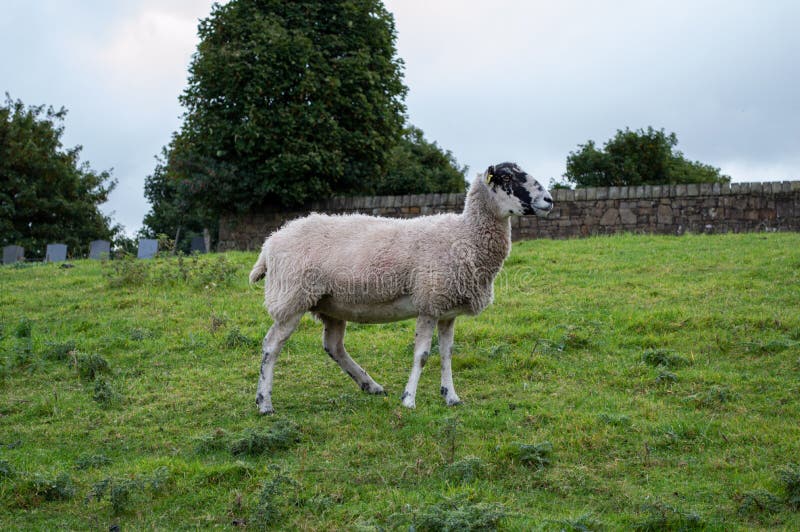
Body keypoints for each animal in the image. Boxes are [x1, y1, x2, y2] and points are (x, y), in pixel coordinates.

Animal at [249, 162, 553, 414]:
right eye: (507, 177)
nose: (549, 200)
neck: (464, 235)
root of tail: (270, 242)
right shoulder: (429, 302)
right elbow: (423, 355)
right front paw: (409, 399)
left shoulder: (447, 310)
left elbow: (447, 354)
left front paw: (451, 397)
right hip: (291, 297)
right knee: (271, 345)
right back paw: (264, 403)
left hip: (331, 304)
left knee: (333, 346)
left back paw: (370, 385)